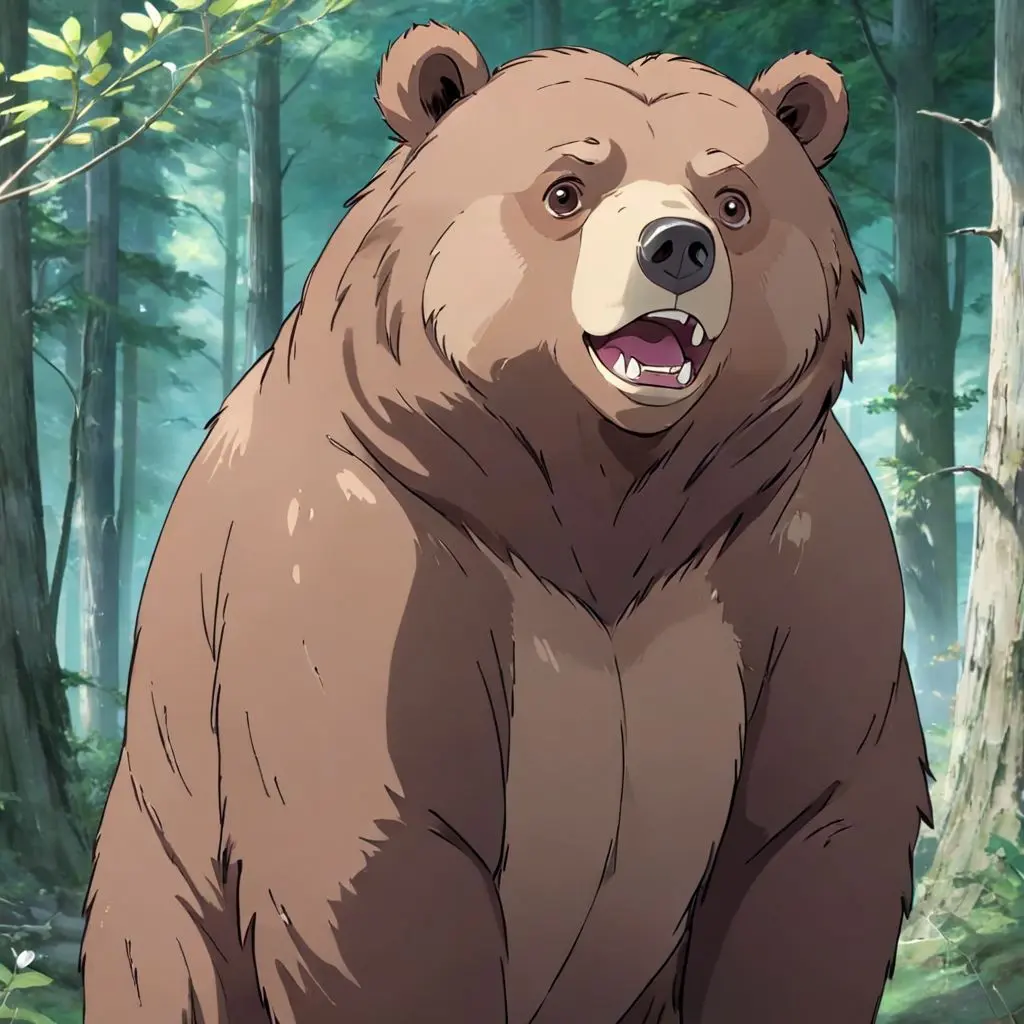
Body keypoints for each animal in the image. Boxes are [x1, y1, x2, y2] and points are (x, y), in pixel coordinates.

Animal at [79, 22, 932, 1024]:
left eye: (734, 199)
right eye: (567, 188)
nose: (677, 248)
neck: (604, 505)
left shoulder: (790, 540)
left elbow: (810, 824)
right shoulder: (363, 539)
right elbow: (375, 839)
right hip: (160, 898)